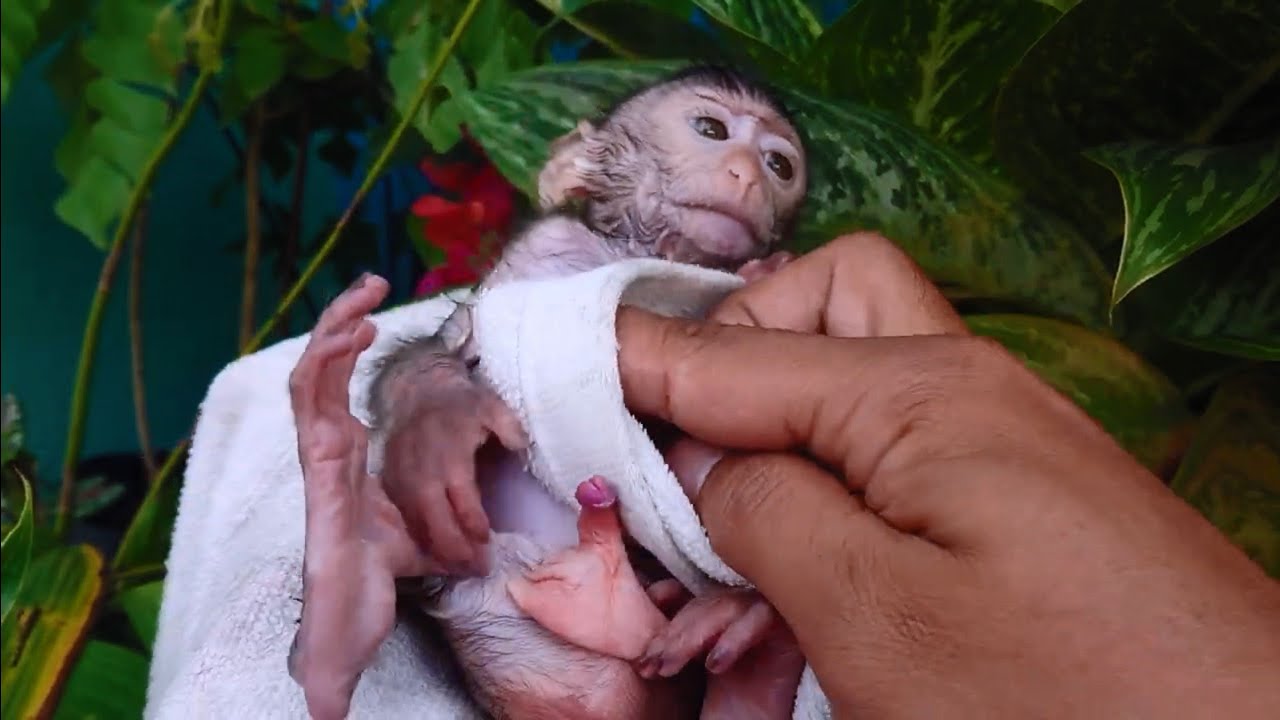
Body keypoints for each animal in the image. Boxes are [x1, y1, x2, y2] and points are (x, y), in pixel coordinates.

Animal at [287, 65, 811, 720]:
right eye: (711, 129)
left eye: (780, 165)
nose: (749, 173)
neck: (626, 251)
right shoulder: (540, 252)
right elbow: (450, 343)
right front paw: (441, 422)